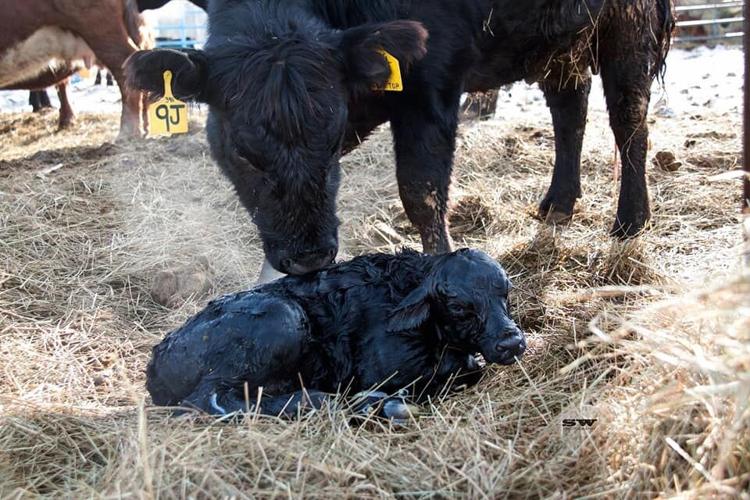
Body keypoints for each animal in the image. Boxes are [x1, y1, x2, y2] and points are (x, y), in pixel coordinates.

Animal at [126, 0, 675, 279]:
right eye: (242, 151)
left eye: (332, 138)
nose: (309, 258)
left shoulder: (430, 83)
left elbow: (421, 192)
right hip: (560, 43)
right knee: (569, 111)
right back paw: (558, 205)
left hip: (627, 27)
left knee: (629, 118)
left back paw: (630, 220)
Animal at [146, 248, 525, 417]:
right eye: (459, 306)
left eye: (504, 292)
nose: (511, 341)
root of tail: (157, 361)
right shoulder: (383, 370)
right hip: (282, 319)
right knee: (208, 399)